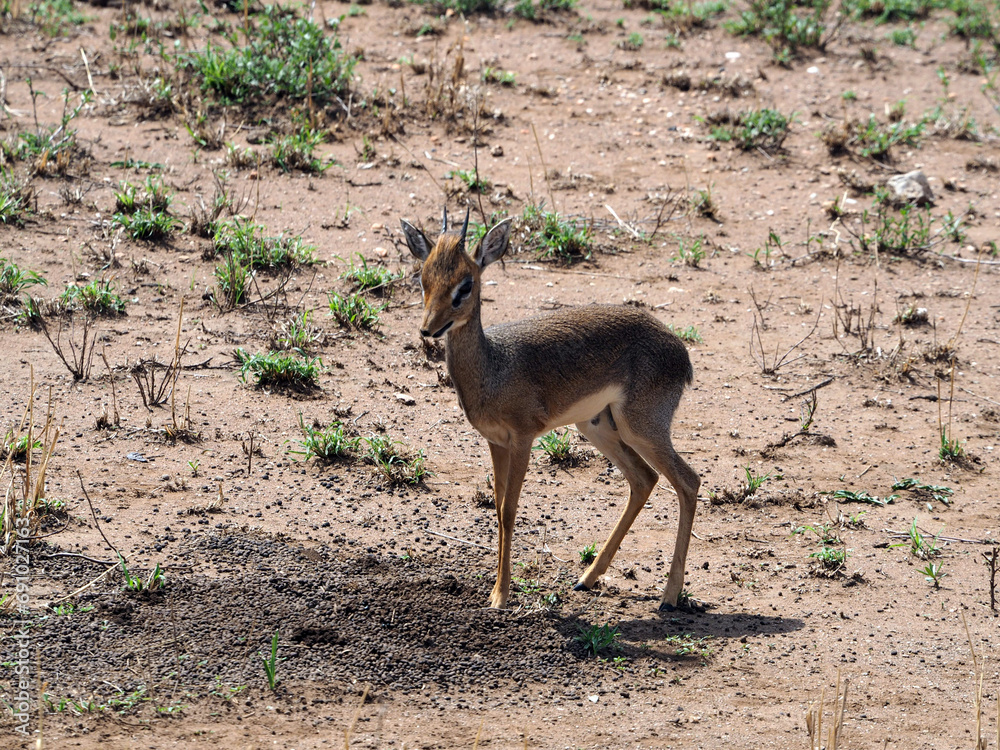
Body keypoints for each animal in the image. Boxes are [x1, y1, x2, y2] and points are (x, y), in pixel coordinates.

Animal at [401, 208, 700, 610]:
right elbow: (498, 509)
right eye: (424, 278)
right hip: (597, 427)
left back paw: (668, 596)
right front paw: (496, 590)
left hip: (641, 428)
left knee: (688, 481)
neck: (494, 366)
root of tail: (680, 351)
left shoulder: (523, 438)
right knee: (644, 479)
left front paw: (501, 595)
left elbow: (509, 510)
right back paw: (587, 578)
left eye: (465, 285)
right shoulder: (495, 442)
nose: (428, 329)